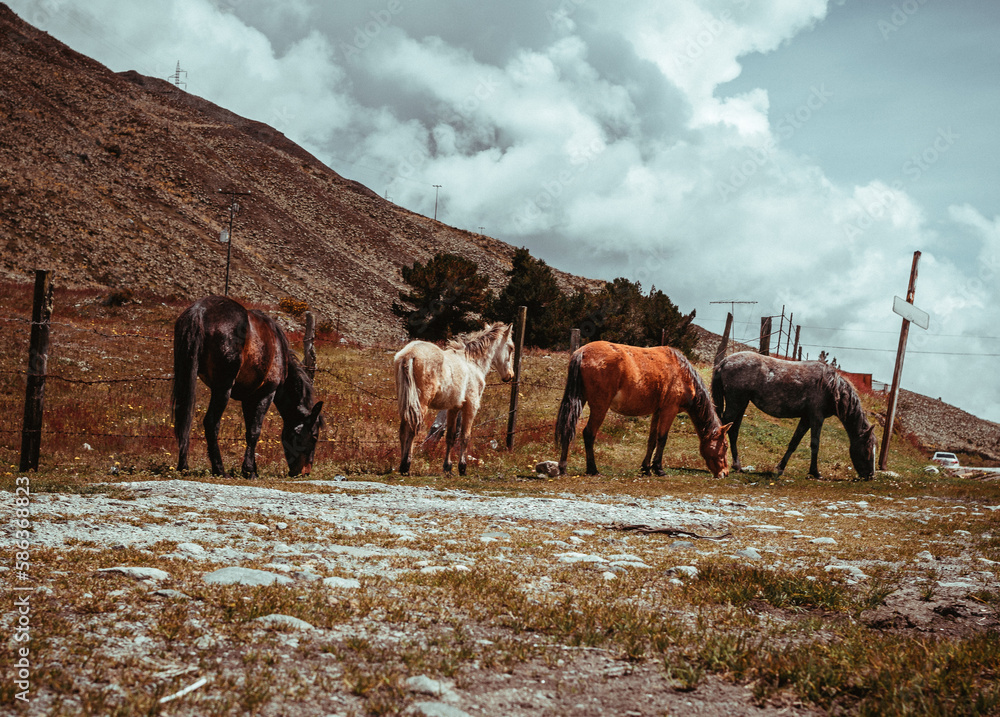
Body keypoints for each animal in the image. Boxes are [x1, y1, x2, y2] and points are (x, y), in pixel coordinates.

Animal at [172, 296, 324, 480]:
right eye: (314, 437)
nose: (305, 472)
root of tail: (200, 311)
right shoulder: (266, 393)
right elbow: (254, 431)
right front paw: (250, 471)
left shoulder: (249, 398)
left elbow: (248, 431)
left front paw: (251, 468)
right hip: (223, 388)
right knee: (211, 423)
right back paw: (219, 470)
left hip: (186, 376)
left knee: (183, 419)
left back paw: (183, 466)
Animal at [395, 323, 515, 476]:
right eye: (511, 347)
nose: (509, 375)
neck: (473, 363)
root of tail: (409, 354)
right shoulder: (471, 406)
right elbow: (465, 436)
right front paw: (462, 467)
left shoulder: (453, 408)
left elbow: (450, 437)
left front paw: (448, 467)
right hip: (420, 404)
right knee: (411, 430)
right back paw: (406, 466)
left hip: (405, 403)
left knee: (403, 430)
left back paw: (402, 466)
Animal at [555, 341, 731, 478]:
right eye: (725, 446)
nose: (725, 473)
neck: (682, 372)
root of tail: (582, 352)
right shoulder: (669, 410)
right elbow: (662, 439)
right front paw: (659, 469)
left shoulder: (658, 411)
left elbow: (652, 440)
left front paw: (646, 468)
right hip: (600, 407)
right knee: (589, 433)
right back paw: (593, 469)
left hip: (581, 400)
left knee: (568, 427)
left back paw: (563, 467)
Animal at [711, 351, 876, 479]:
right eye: (867, 449)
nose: (870, 475)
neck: (830, 387)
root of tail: (724, 362)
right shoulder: (817, 417)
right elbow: (815, 444)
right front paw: (815, 473)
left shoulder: (806, 418)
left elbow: (794, 442)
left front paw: (780, 467)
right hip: (736, 403)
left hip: (742, 404)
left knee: (734, 431)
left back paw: (737, 466)